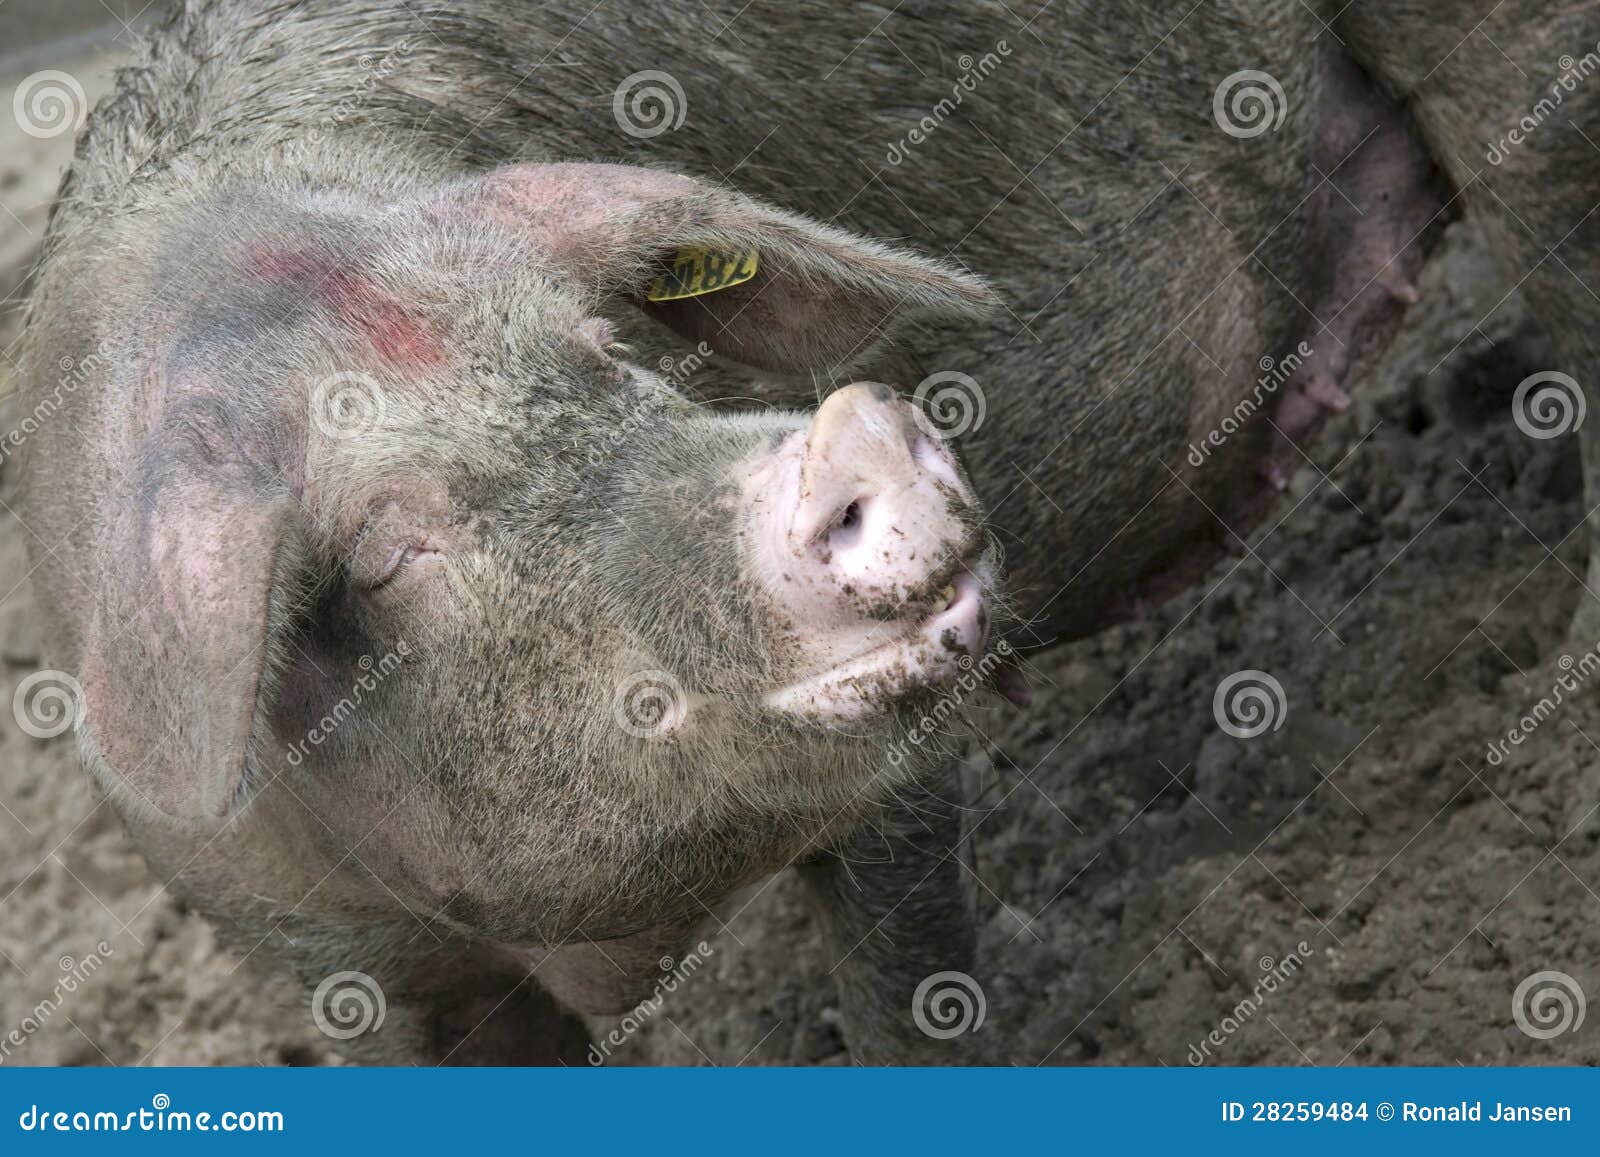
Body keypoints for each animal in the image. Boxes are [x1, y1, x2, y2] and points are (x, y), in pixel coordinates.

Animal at [14, 0, 1600, 1064]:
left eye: (623, 352)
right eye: (390, 550)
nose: (851, 430)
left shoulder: (895, 778)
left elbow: (911, 1001)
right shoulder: (337, 961)